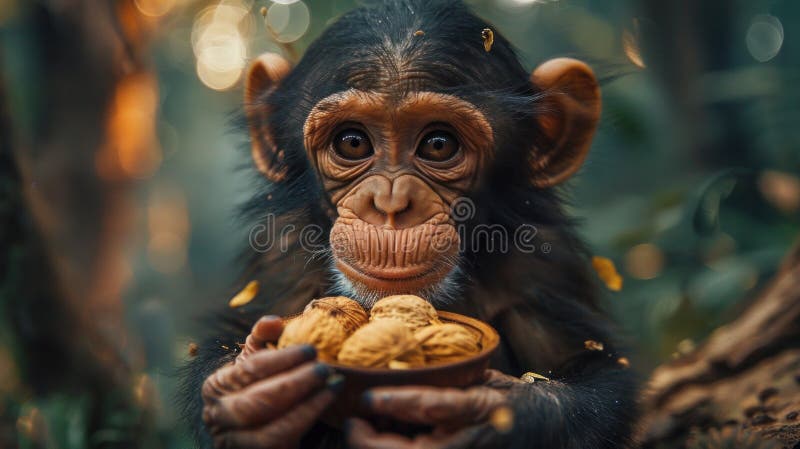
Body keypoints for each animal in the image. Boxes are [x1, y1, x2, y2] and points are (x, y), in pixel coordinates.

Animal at [180, 1, 638, 448]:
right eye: (352, 142)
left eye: (439, 145)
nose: (391, 202)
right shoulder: (281, 255)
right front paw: (249, 392)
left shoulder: (544, 263)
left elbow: (596, 367)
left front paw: (495, 411)